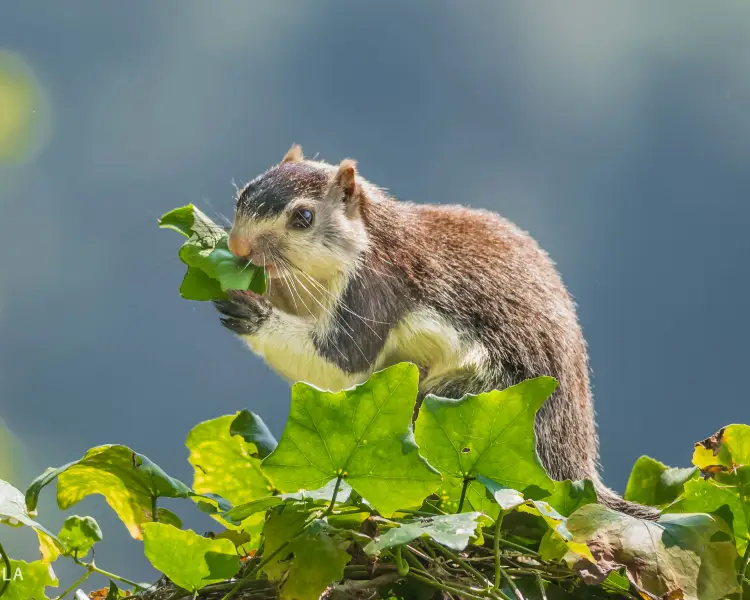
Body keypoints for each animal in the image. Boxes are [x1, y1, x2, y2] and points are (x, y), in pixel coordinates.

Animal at [214, 144, 658, 520]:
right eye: (243, 194)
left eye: (303, 218)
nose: (237, 247)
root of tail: (576, 470)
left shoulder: (374, 290)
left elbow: (339, 361)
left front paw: (249, 309)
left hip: (462, 401)